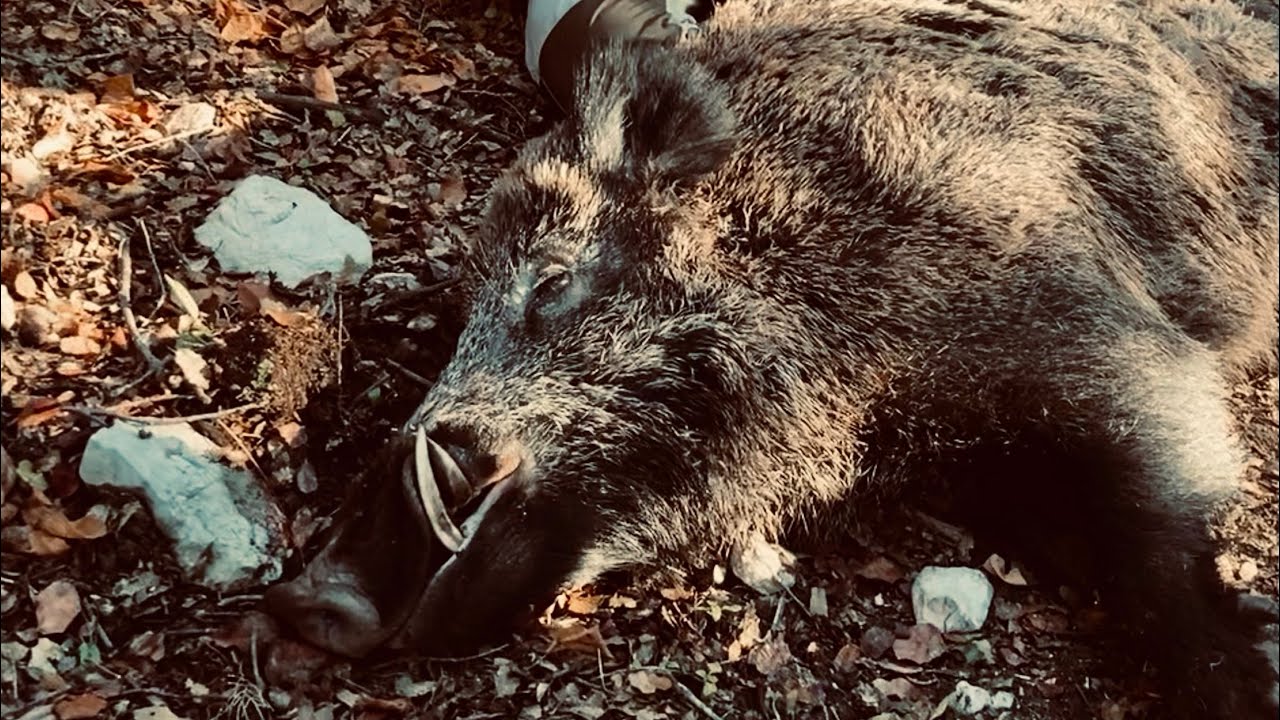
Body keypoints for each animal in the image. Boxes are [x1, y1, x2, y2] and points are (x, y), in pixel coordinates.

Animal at [266, 0, 1279, 715]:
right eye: (458, 323)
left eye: (551, 281)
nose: (309, 594)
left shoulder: (1093, 330)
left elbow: (1157, 524)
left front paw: (1252, 675)